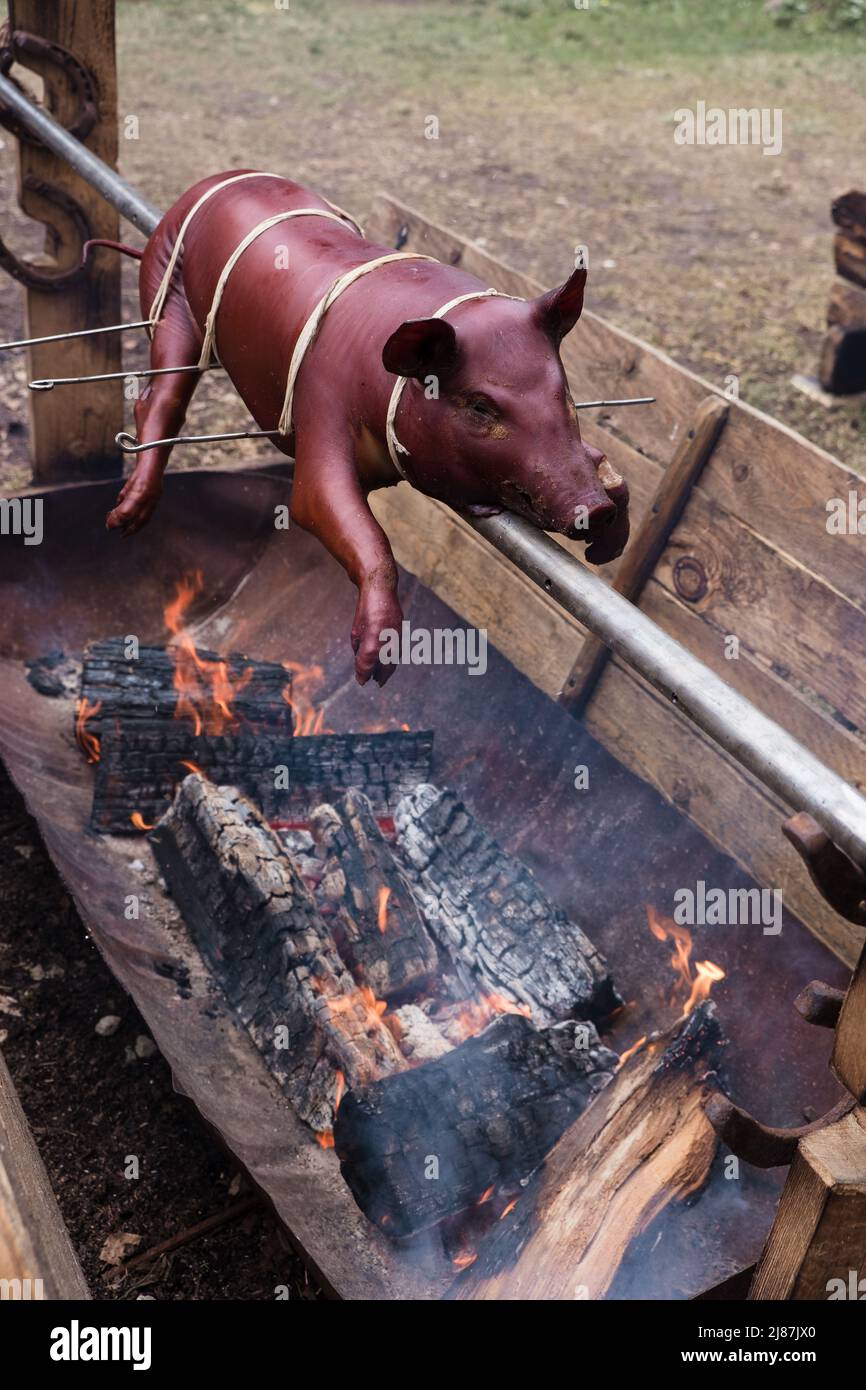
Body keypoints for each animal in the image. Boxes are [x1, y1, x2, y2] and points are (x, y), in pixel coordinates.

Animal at [103, 171, 629, 685]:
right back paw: (123, 521)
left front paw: (607, 549)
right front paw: (374, 668)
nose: (593, 508)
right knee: (160, 399)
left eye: (564, 390)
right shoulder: (322, 408)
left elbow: (604, 464)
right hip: (165, 289)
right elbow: (342, 520)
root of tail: (208, 184)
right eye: (481, 407)